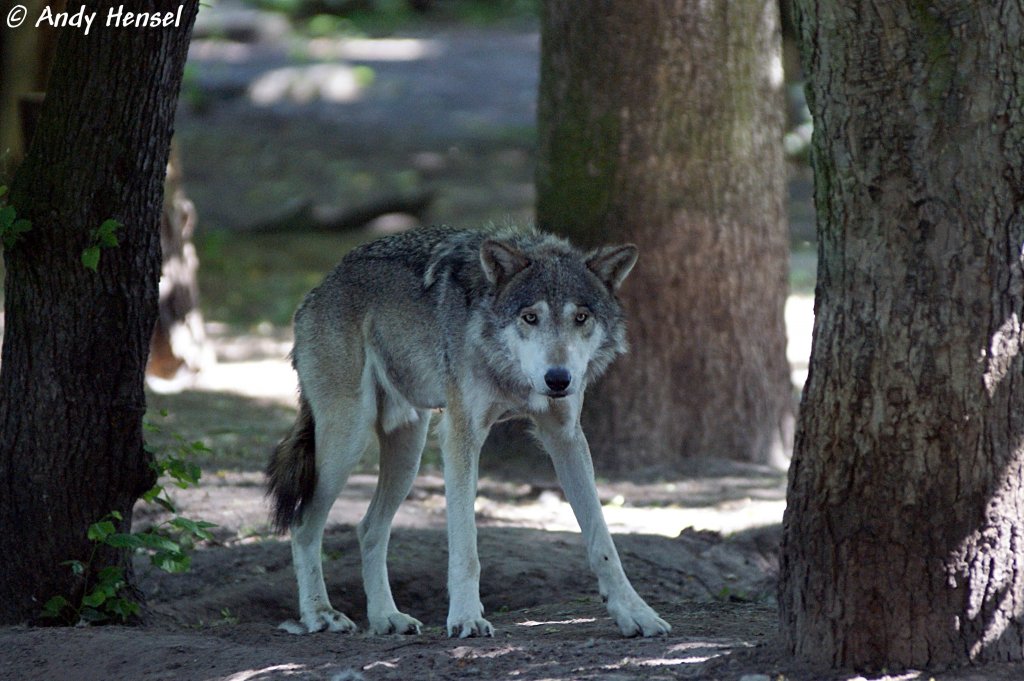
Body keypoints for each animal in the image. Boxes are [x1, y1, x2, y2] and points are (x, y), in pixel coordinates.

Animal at [266, 224, 671, 639]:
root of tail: (321, 286)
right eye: (530, 317)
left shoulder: (566, 436)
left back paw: (386, 617)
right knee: (303, 523)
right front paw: (465, 617)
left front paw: (635, 612)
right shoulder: (461, 434)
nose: (558, 379)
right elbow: (466, 546)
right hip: (349, 438)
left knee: (368, 528)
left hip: (408, 451)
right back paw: (319, 614)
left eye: (581, 317)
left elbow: (603, 541)